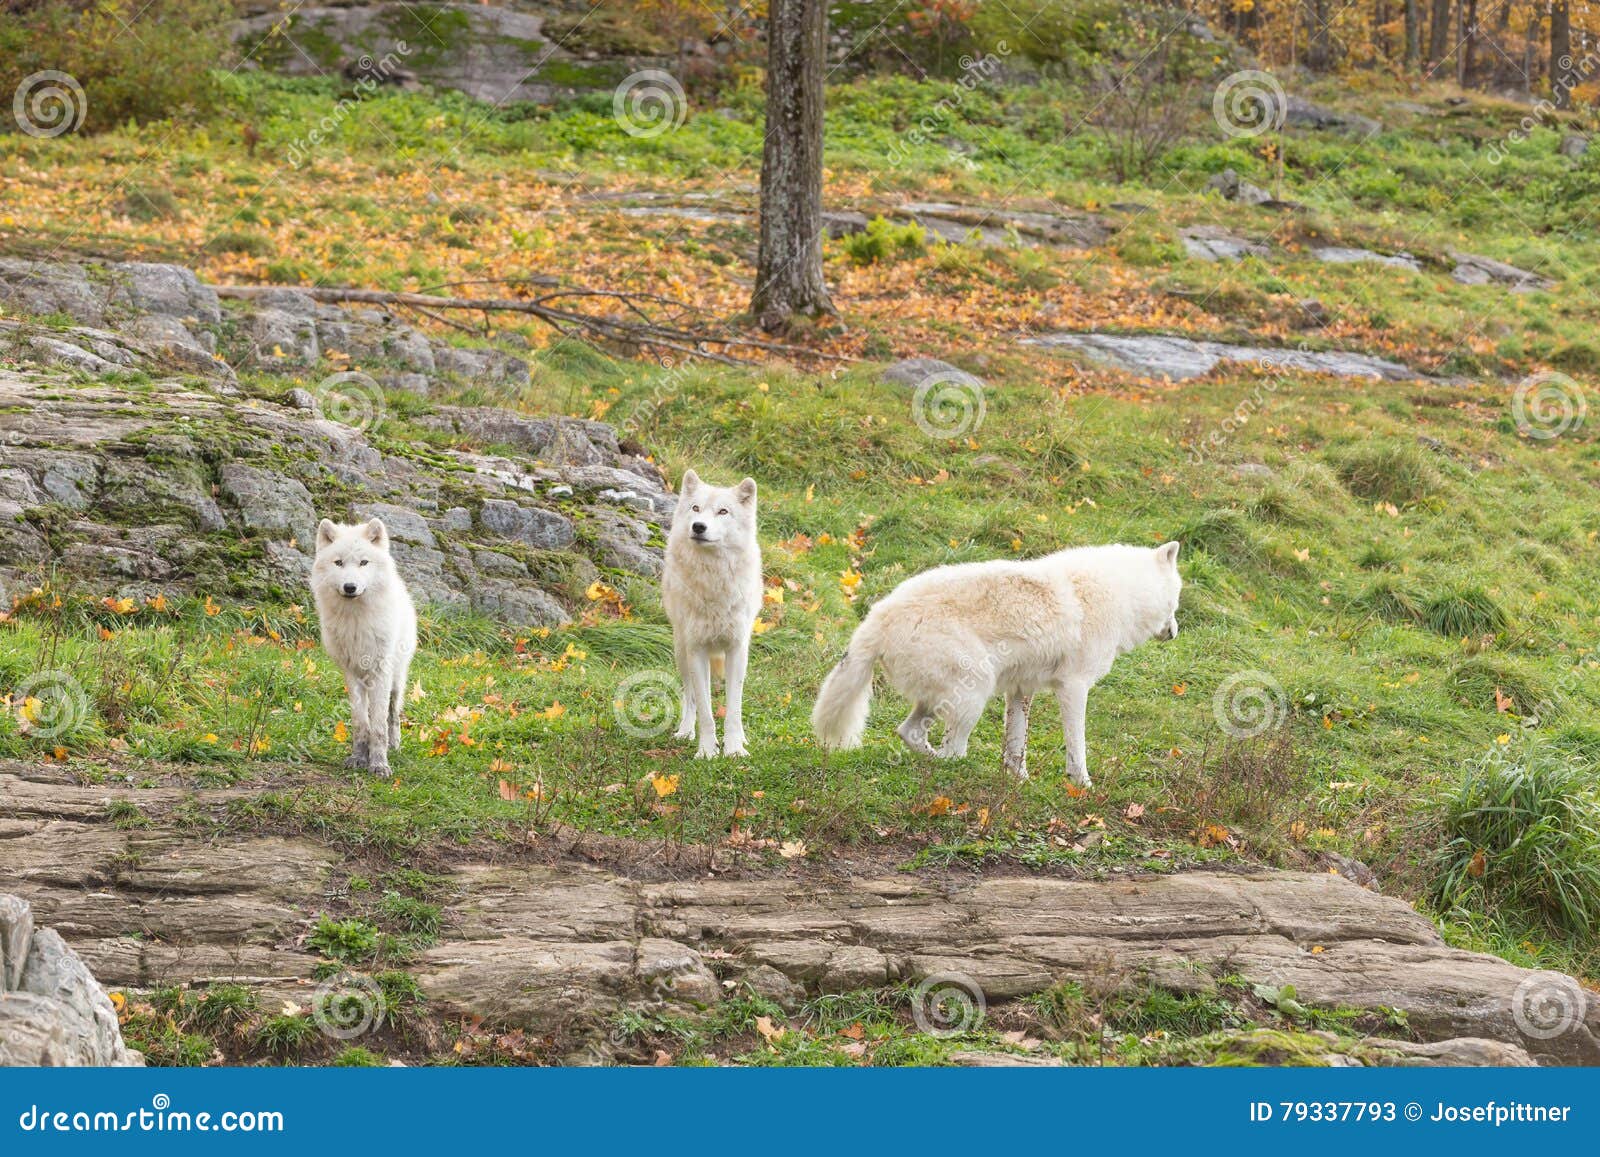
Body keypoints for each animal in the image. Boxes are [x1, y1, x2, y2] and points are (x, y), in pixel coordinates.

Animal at [311, 518, 418, 776]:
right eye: (339, 562)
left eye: (363, 562)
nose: (350, 587)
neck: (356, 620)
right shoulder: (351, 674)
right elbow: (361, 723)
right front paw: (359, 758)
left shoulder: (380, 672)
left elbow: (378, 725)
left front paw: (379, 764)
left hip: (396, 680)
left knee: (393, 714)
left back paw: (394, 745)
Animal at [661, 470, 763, 758]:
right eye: (696, 508)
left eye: (723, 511)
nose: (698, 526)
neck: (714, 579)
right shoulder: (697, 650)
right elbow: (705, 711)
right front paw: (707, 751)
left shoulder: (737, 650)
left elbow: (734, 709)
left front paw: (735, 749)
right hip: (682, 651)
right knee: (690, 696)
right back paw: (685, 732)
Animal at [811, 542, 1182, 787]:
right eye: (1177, 600)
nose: (1175, 633)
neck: (1122, 593)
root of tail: (876, 619)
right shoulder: (1074, 687)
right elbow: (1077, 745)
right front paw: (1082, 785)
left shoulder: (1020, 690)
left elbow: (1015, 747)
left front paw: (1020, 781)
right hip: (975, 691)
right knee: (952, 753)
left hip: (943, 701)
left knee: (909, 733)